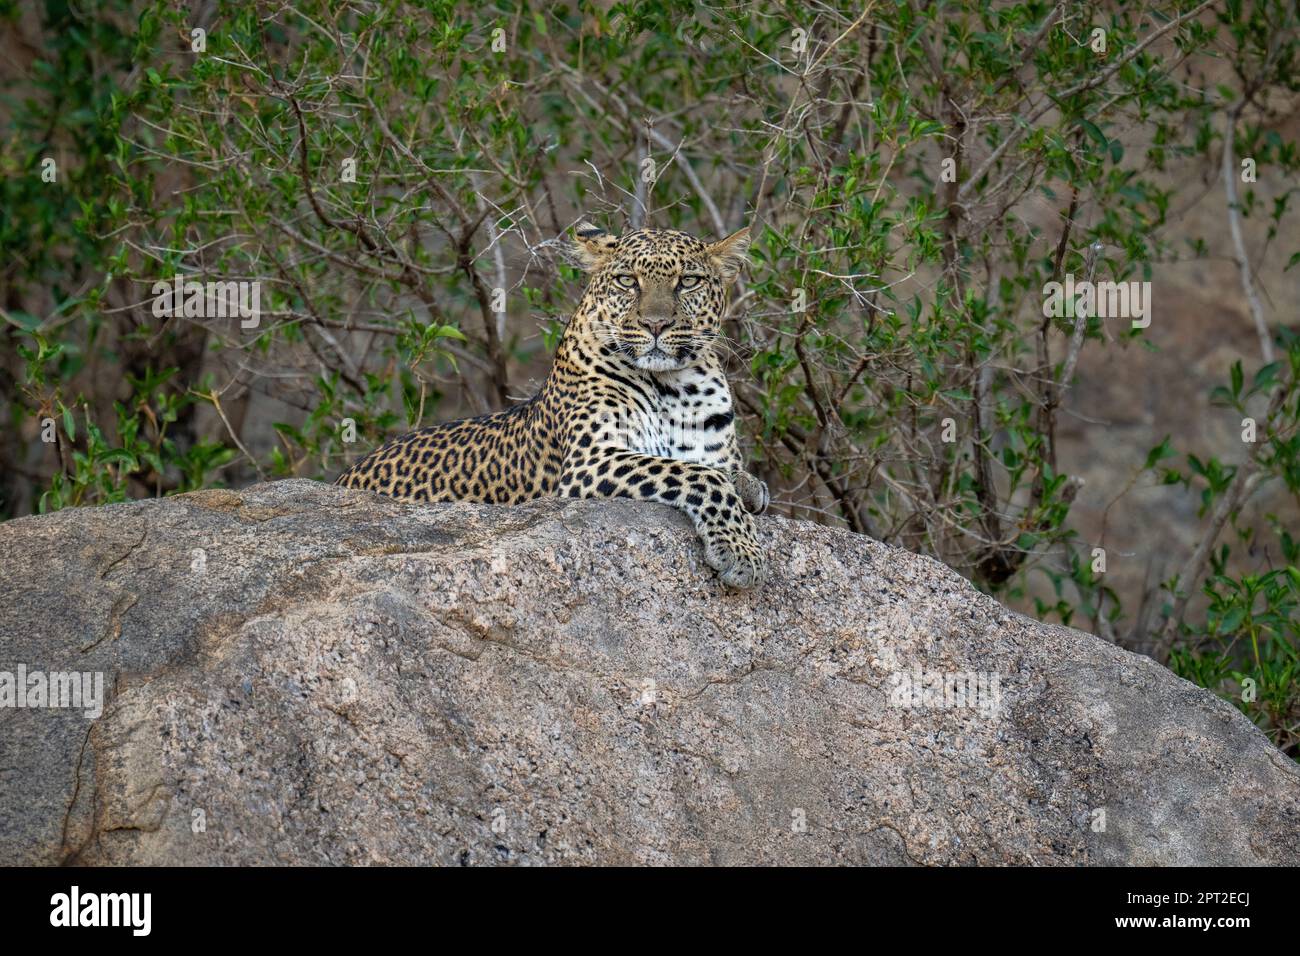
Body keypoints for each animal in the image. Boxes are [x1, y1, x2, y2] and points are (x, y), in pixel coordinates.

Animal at [335, 220, 769, 588]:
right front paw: (742, 552)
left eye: (688, 282)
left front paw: (750, 492)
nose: (656, 324)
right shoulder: (588, 463)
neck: (673, 388)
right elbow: (698, 476)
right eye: (627, 281)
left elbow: (723, 472)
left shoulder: (709, 450)